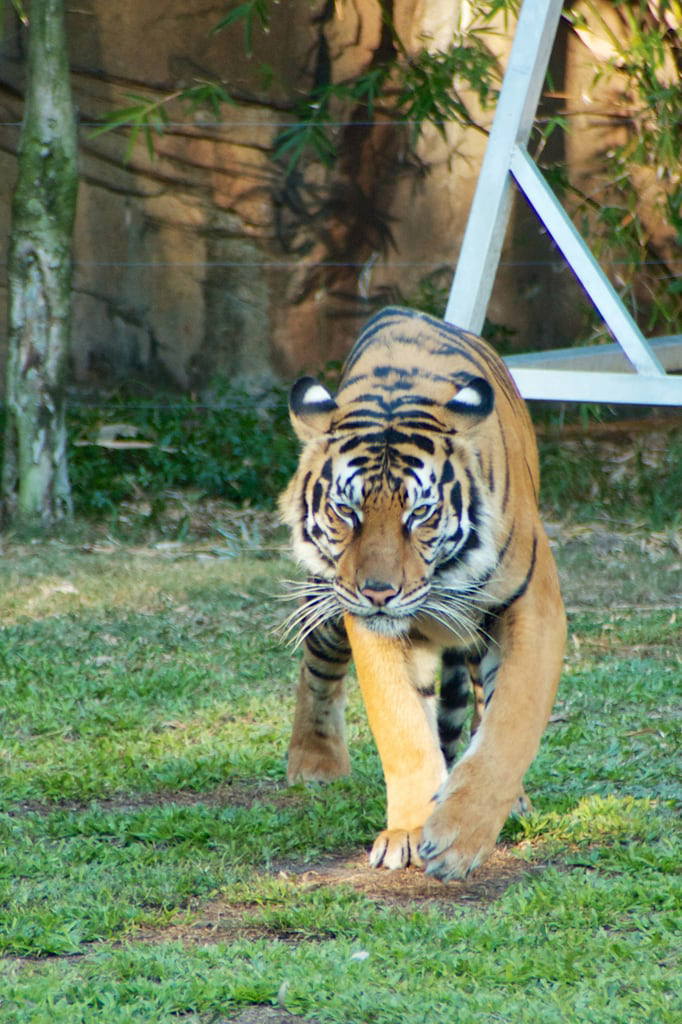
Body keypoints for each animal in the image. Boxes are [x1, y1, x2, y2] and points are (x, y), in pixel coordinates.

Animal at [279, 306, 566, 882]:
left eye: (420, 514)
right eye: (347, 511)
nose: (378, 593)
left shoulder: (534, 608)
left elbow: (509, 724)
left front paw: (458, 837)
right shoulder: (365, 622)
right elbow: (403, 728)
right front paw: (408, 831)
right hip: (327, 604)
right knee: (318, 670)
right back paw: (315, 764)